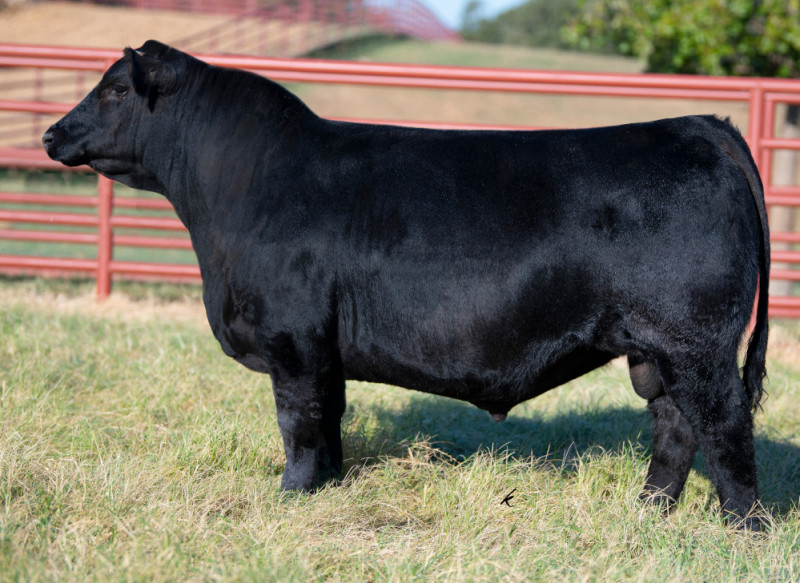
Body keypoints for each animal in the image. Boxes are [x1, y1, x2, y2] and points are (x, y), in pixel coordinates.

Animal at [43, 41, 770, 530]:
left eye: (114, 90)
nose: (51, 133)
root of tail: (700, 124)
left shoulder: (293, 338)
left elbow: (297, 421)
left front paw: (291, 495)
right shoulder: (324, 348)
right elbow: (328, 418)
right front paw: (329, 484)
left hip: (697, 343)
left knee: (725, 425)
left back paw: (741, 528)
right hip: (658, 350)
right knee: (675, 427)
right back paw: (648, 511)